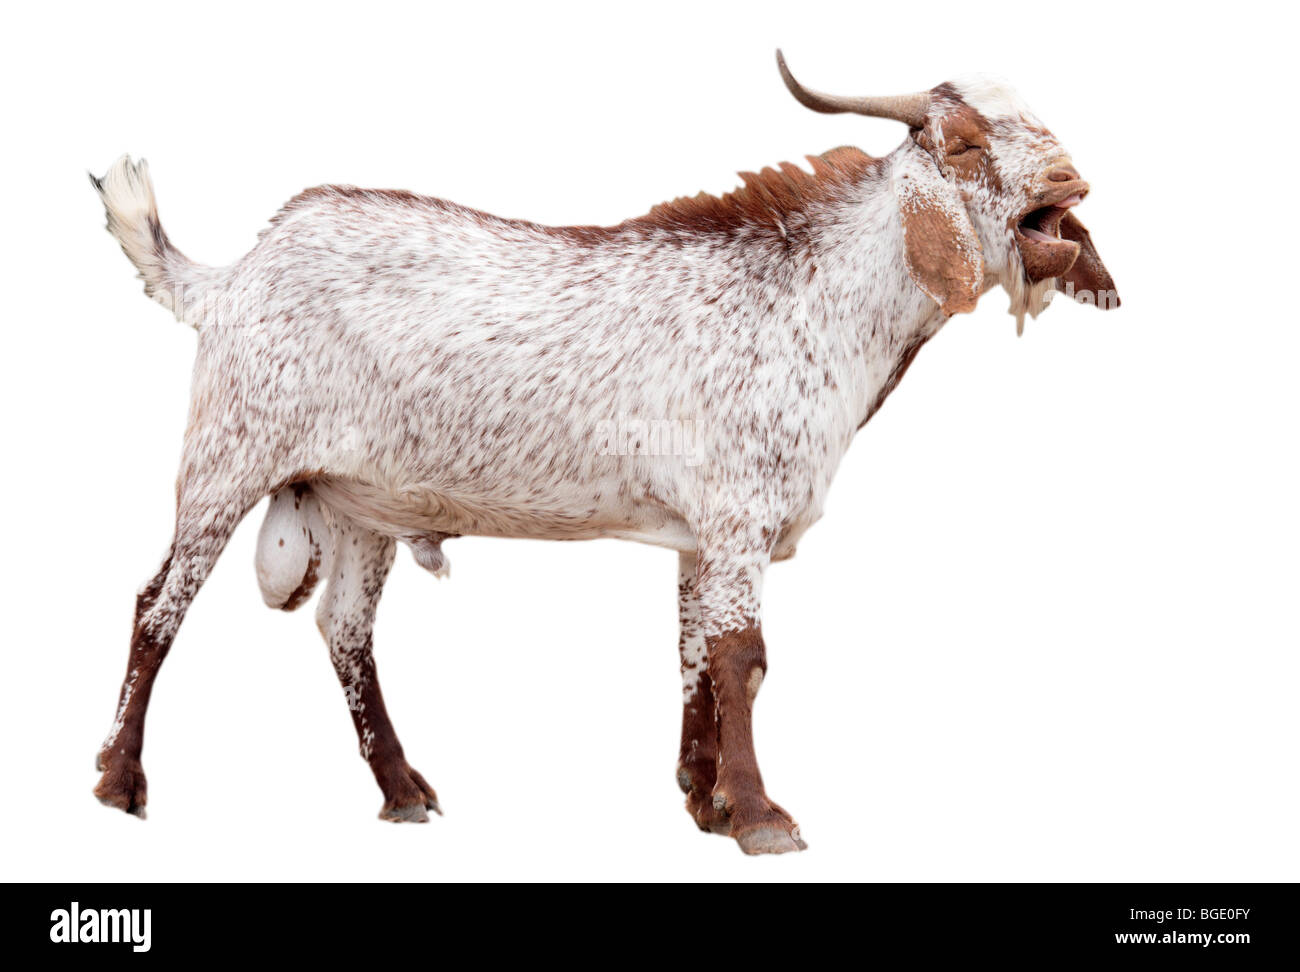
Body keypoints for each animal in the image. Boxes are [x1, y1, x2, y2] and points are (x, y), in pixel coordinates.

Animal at [90, 52, 1118, 854]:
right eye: (966, 143)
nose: (1070, 183)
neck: (810, 296)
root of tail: (228, 277)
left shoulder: (705, 534)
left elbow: (698, 657)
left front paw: (706, 802)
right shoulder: (740, 515)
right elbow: (745, 658)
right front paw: (762, 818)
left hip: (358, 503)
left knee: (343, 630)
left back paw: (401, 790)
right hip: (228, 455)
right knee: (158, 604)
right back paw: (118, 782)